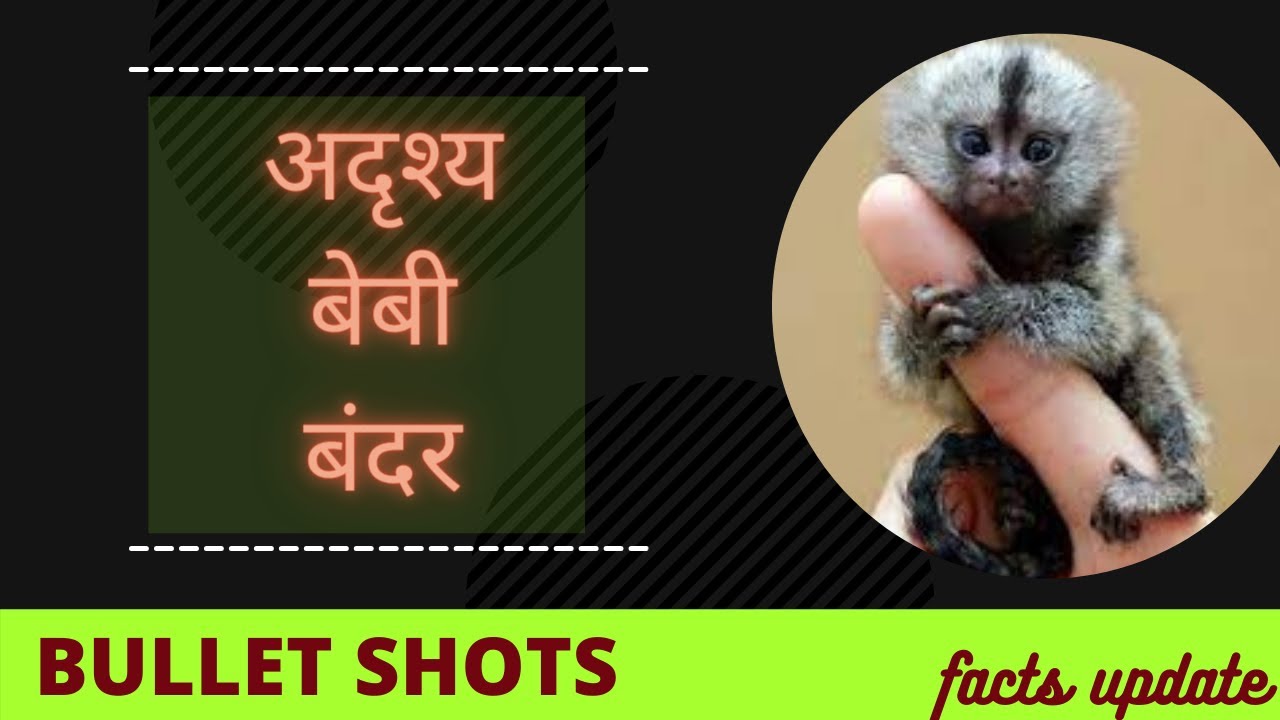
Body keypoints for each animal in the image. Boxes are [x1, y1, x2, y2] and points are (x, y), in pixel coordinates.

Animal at [874, 39, 1211, 577]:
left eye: (1037, 150)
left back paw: (1177, 487)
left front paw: (1000, 304)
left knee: (1149, 350)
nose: (1004, 178)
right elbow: (915, 373)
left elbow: (1109, 332)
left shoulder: (1094, 244)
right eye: (975, 143)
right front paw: (923, 334)